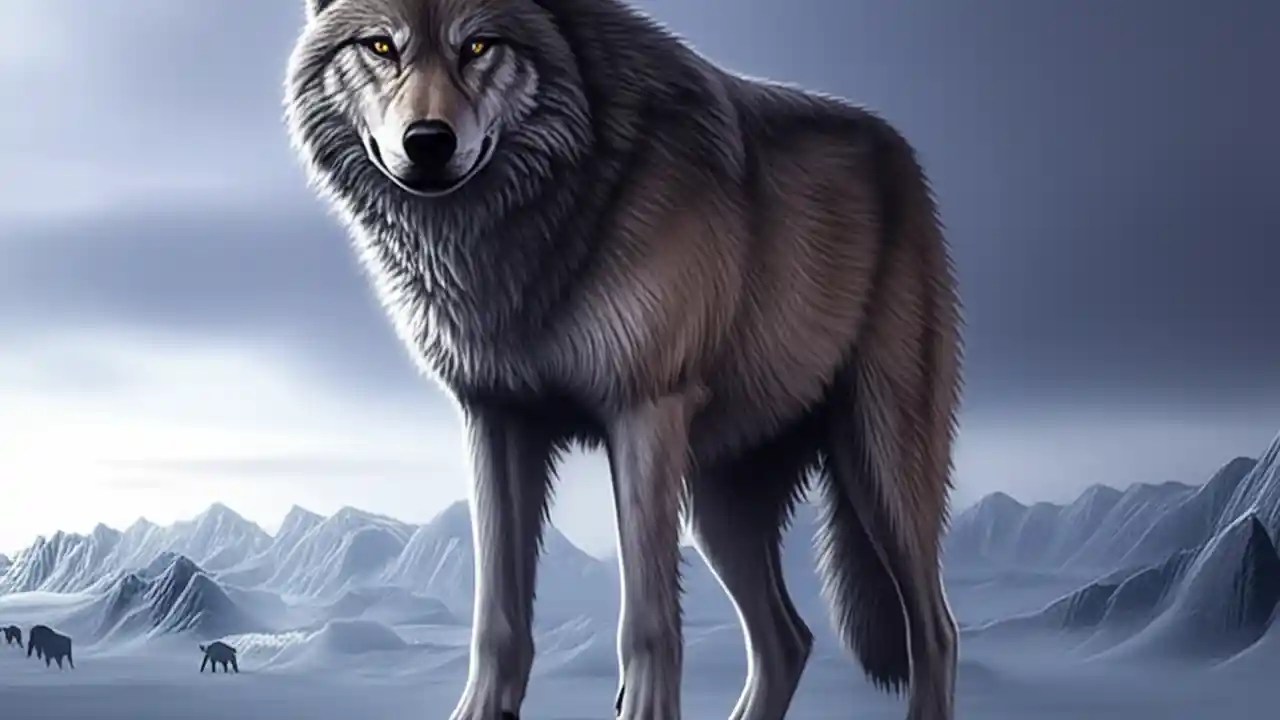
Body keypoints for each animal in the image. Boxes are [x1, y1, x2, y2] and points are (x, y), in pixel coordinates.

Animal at [285, 1, 962, 718]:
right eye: (382, 46)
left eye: (479, 46)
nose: (429, 141)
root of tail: (899, 149)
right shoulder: (496, 418)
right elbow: (496, 617)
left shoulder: (644, 413)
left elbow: (646, 622)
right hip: (718, 506)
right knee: (788, 639)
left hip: (880, 468)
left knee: (935, 629)